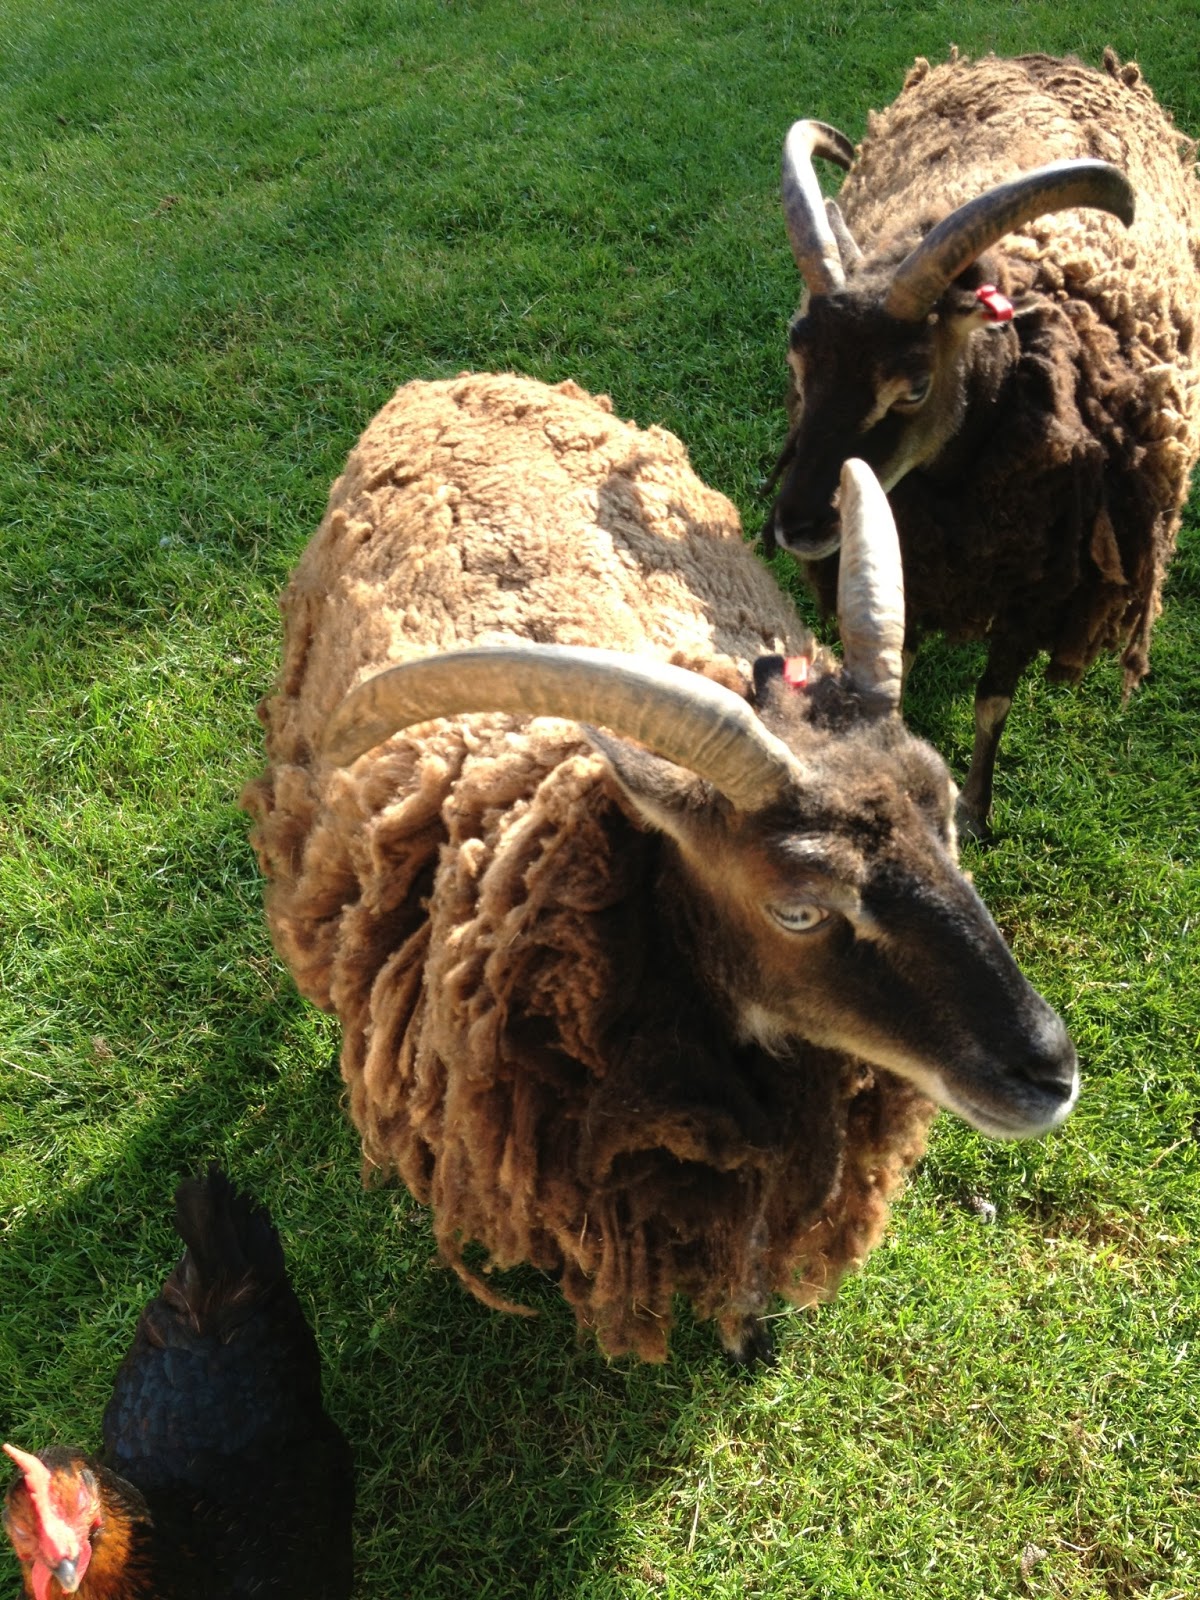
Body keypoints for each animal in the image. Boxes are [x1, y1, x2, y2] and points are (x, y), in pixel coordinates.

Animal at [767, 50, 1200, 836]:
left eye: (913, 385)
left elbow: (992, 700)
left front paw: (973, 809)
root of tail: (1046, 58)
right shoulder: (905, 557)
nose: (801, 525)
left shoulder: (1040, 589)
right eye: (798, 354)